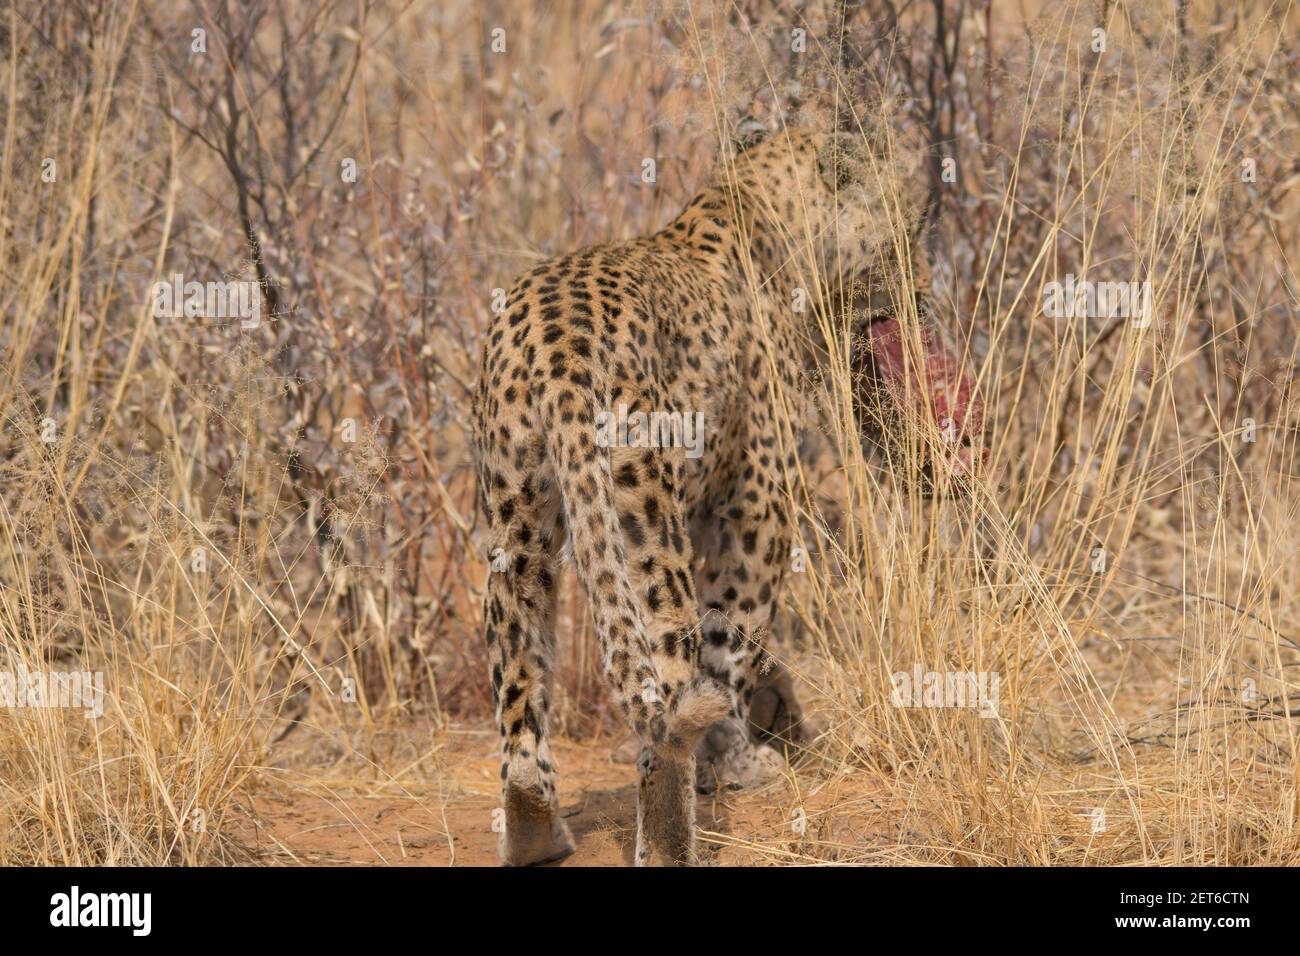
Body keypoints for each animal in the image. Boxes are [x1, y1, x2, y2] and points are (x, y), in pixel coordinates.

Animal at [471, 123, 922, 866]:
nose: (908, 268)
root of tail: (558, 355)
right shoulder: (756, 506)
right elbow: (732, 638)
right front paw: (739, 761)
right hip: (646, 519)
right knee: (669, 685)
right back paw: (670, 839)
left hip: (518, 523)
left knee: (520, 676)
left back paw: (534, 830)